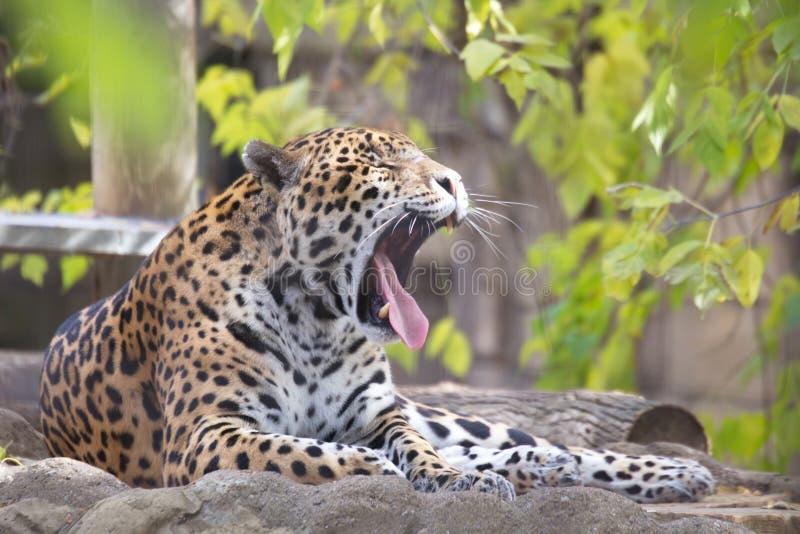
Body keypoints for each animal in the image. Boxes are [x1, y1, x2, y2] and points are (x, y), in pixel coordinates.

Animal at [39, 127, 714, 503]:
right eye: (381, 164)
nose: (454, 180)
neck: (315, 323)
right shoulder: (205, 435)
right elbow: (294, 450)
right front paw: (371, 467)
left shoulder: (378, 411)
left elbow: (414, 447)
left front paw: (445, 478)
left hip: (450, 414)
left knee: (519, 443)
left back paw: (661, 469)